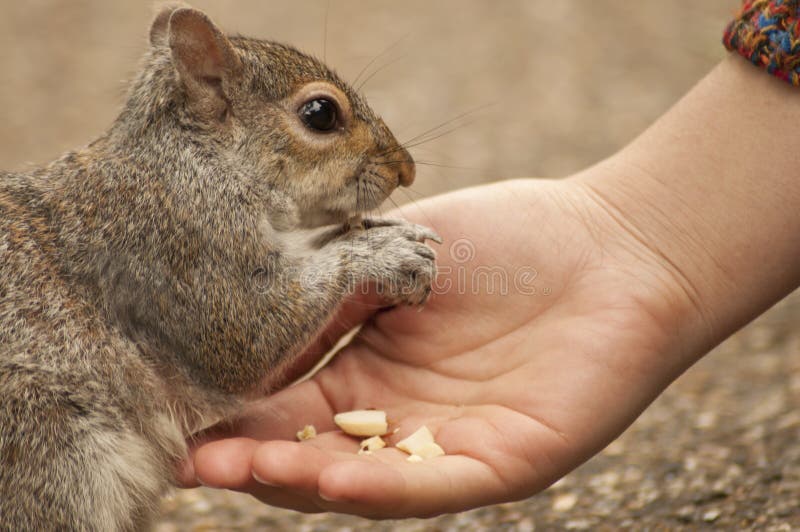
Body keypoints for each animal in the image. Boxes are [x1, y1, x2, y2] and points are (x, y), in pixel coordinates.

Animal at [0, 5, 439, 530]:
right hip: (49, 448)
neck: (197, 166)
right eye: (320, 114)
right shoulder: (176, 251)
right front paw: (383, 250)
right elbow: (245, 339)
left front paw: (380, 229)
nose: (406, 170)